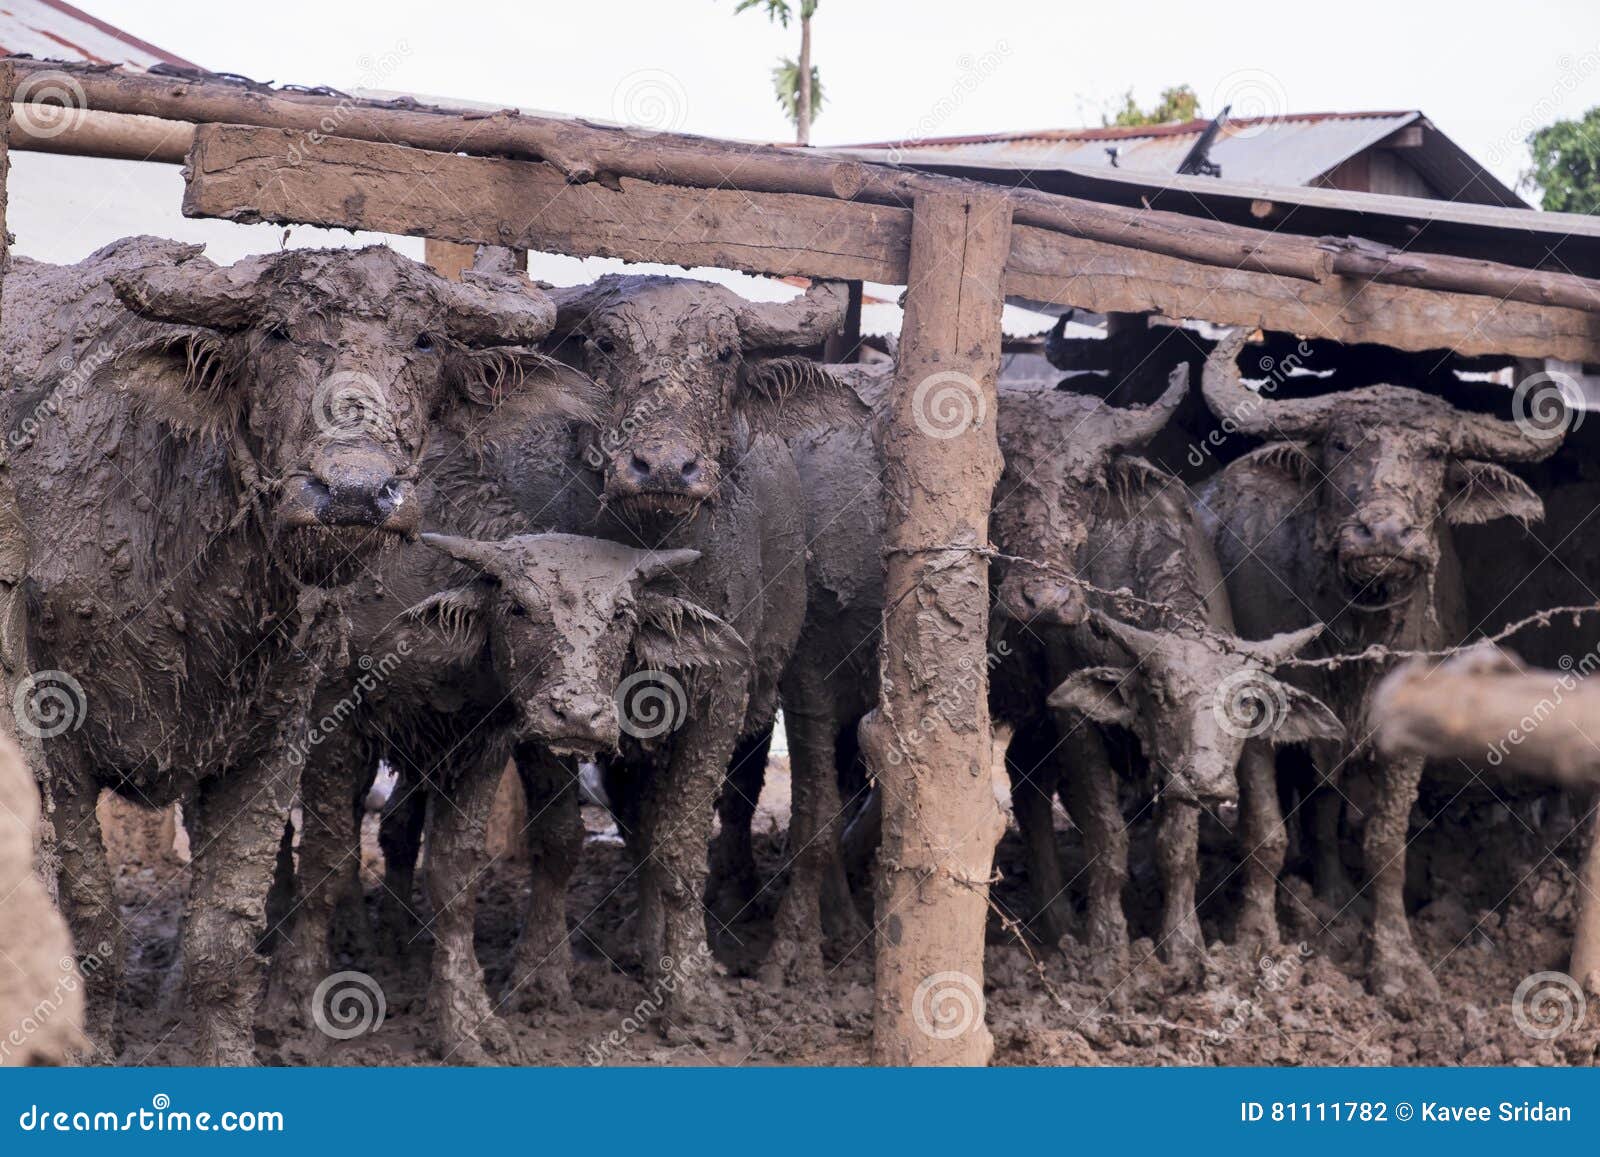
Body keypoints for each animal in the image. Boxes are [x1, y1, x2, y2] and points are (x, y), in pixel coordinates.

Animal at [0, 237, 589, 1063]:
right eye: (277, 334)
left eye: (425, 340)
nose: (355, 491)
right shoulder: (59, 752)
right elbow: (92, 925)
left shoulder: (272, 747)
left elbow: (224, 941)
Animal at [1197, 329, 1562, 998]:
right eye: (1341, 444)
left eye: (1436, 452)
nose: (1385, 534)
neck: (1354, 626)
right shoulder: (1255, 712)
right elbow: (1263, 830)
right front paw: (1254, 940)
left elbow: (1385, 843)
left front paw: (1396, 966)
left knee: (1325, 804)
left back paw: (1335, 898)